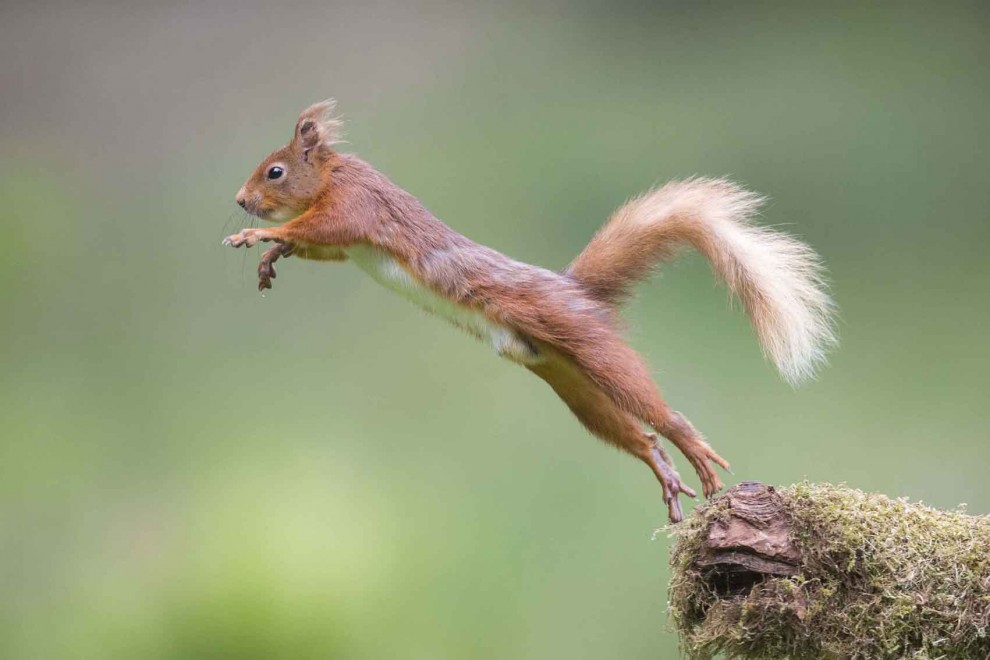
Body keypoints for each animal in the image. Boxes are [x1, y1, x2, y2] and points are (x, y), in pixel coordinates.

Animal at [223, 100, 836, 522]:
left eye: (275, 171)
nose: (239, 200)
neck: (335, 173)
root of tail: (575, 290)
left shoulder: (357, 206)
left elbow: (318, 227)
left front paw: (256, 236)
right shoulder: (347, 242)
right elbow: (318, 246)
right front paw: (270, 257)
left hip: (591, 346)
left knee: (657, 411)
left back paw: (691, 447)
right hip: (568, 380)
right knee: (634, 434)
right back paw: (661, 467)